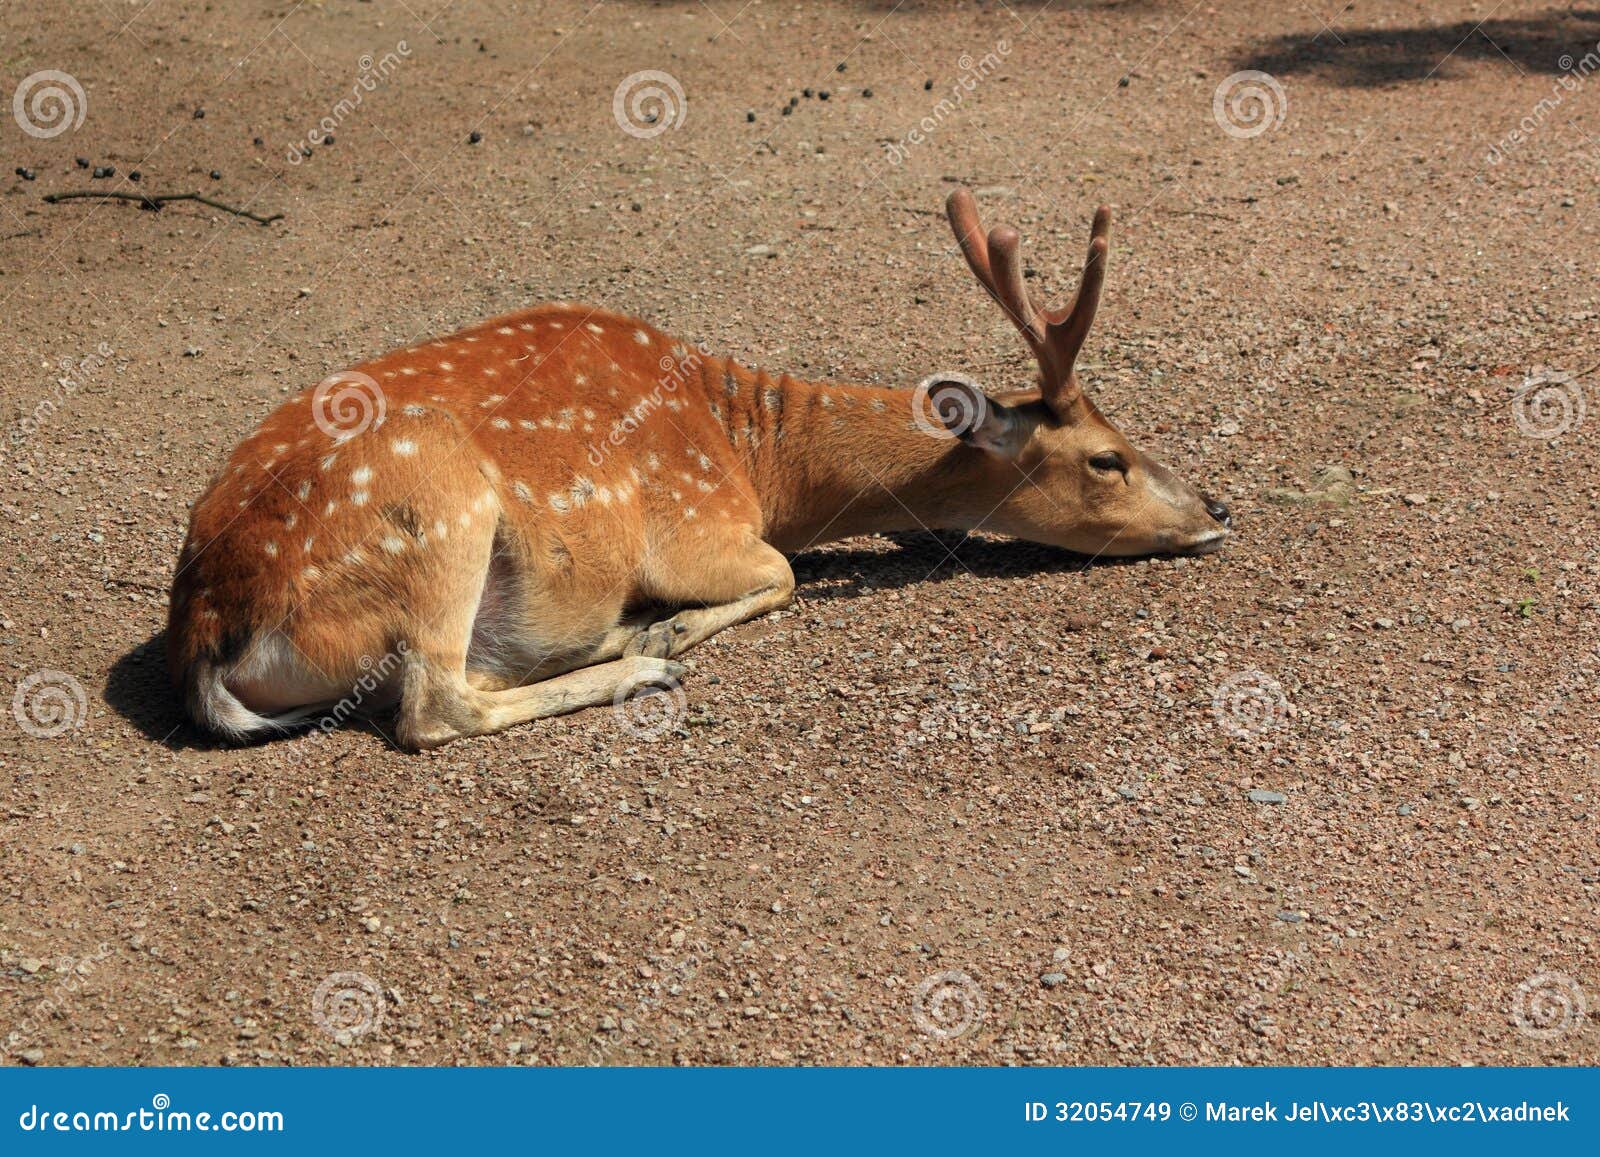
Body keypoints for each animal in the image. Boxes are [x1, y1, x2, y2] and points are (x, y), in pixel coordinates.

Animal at [167, 188, 1231, 750]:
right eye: (1108, 459)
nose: (1219, 506)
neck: (757, 458)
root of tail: (210, 631)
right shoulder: (697, 528)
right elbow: (786, 574)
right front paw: (672, 627)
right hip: (437, 505)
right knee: (433, 705)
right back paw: (641, 661)